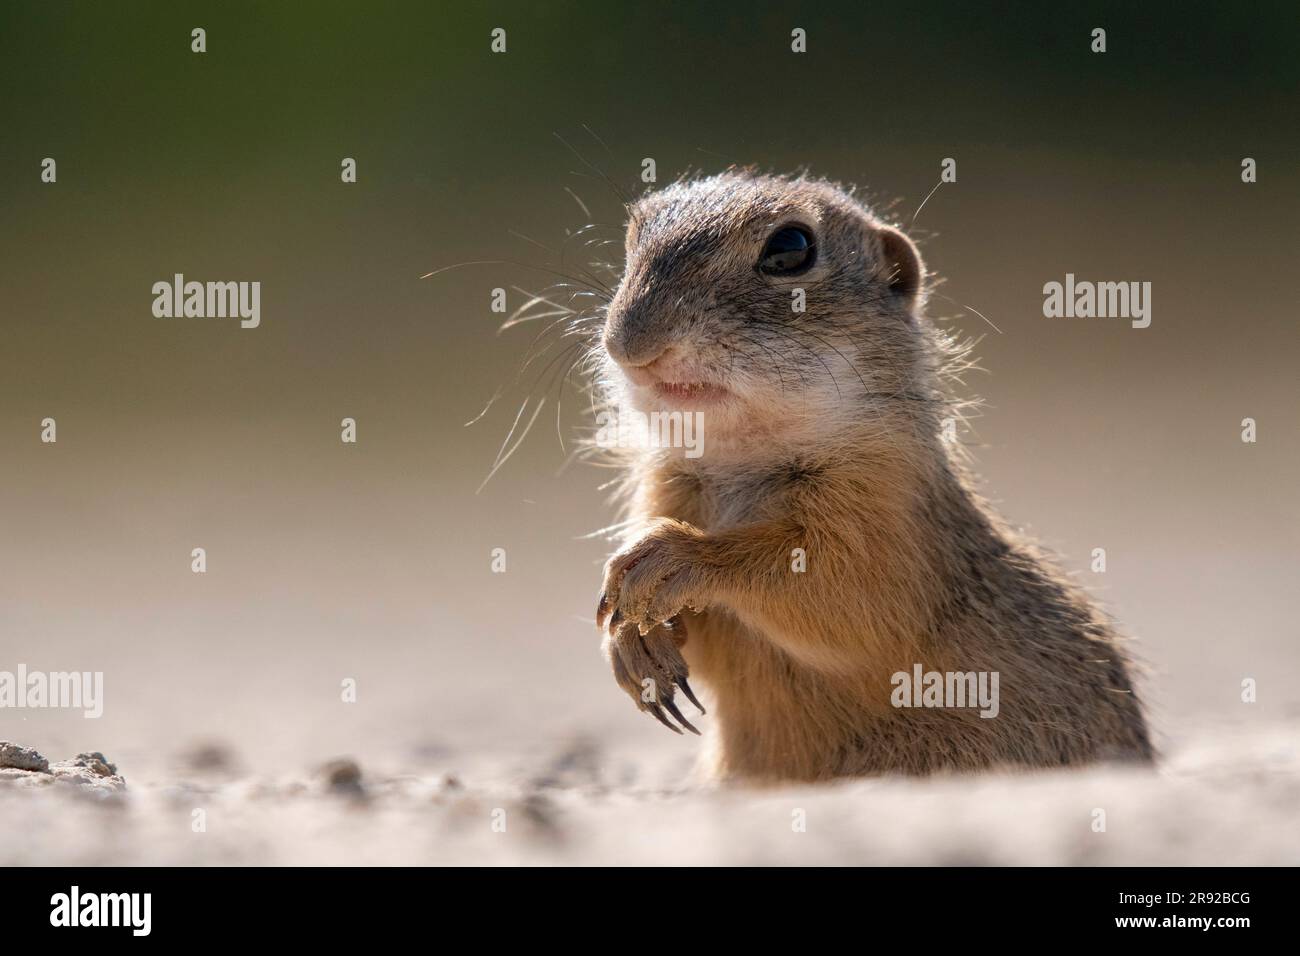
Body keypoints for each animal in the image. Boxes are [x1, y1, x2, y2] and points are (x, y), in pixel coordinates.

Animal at [592, 170, 1154, 783]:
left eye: (790, 248)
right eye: (634, 234)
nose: (629, 342)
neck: (738, 463)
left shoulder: (885, 512)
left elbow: (844, 593)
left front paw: (673, 556)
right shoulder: (669, 489)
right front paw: (631, 640)